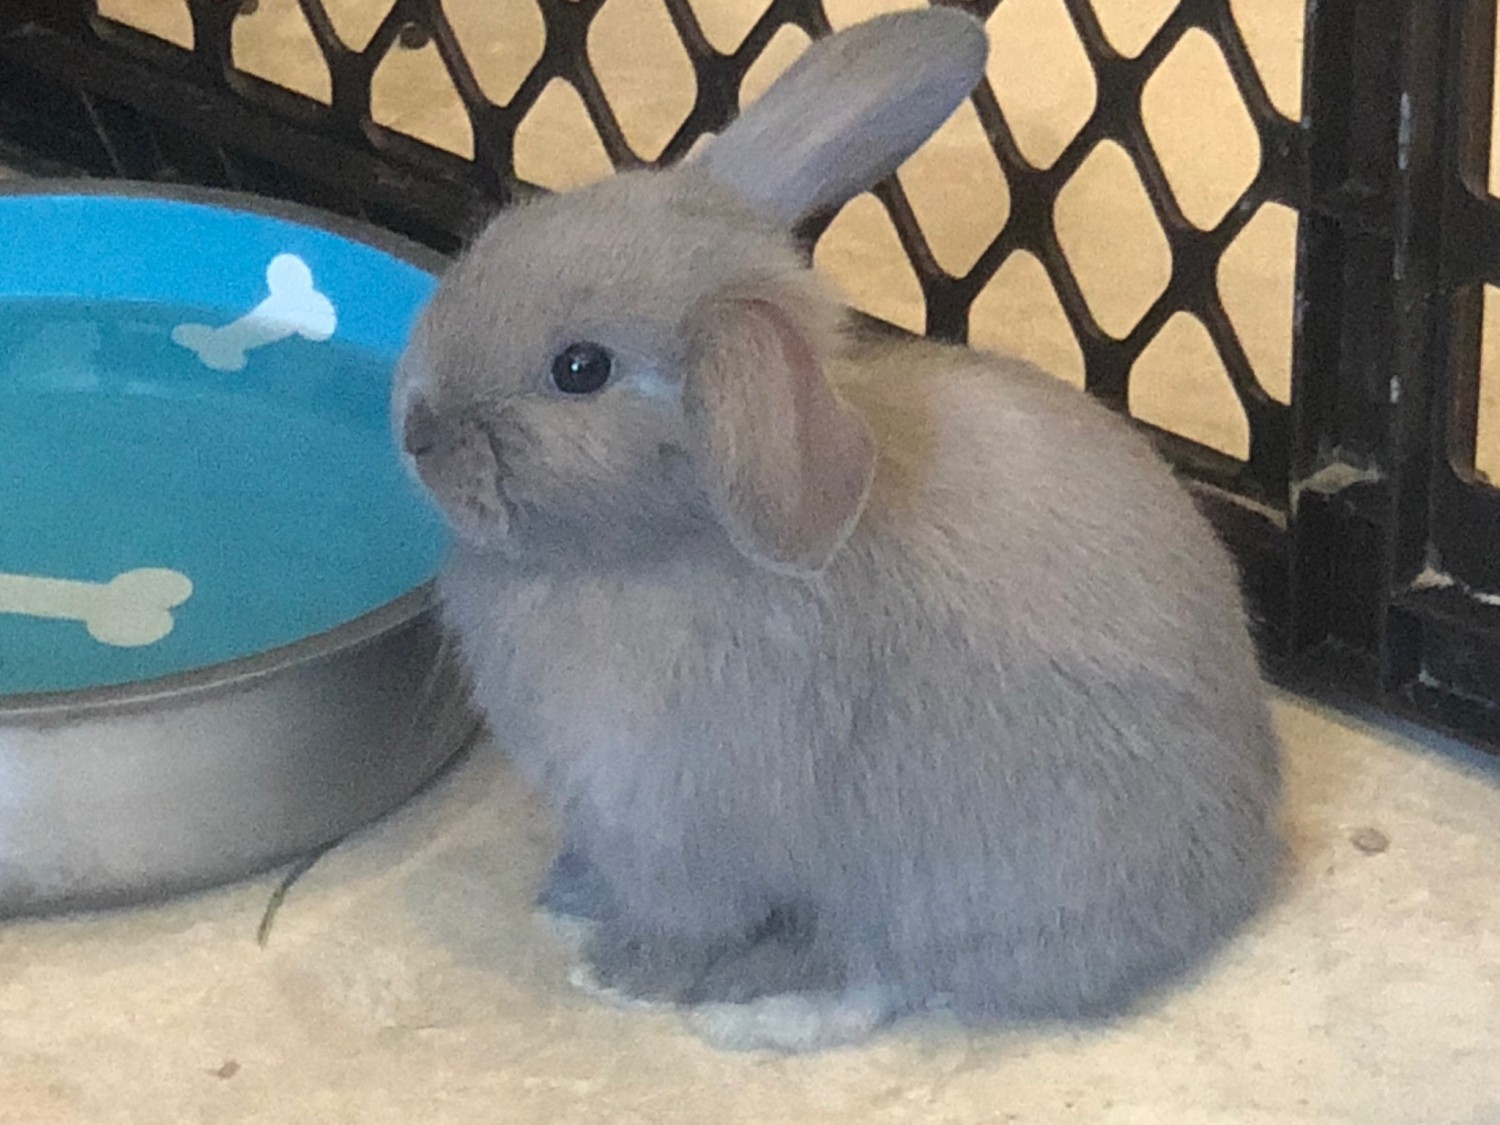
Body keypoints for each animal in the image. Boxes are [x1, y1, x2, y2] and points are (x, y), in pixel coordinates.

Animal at [392, 7, 1283, 1052]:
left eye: (581, 368)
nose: (417, 429)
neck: (673, 535)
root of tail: (1240, 874)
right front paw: (568, 890)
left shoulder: (674, 836)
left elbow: (684, 925)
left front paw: (623, 972)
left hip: (940, 888)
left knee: (891, 980)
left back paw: (757, 1011)